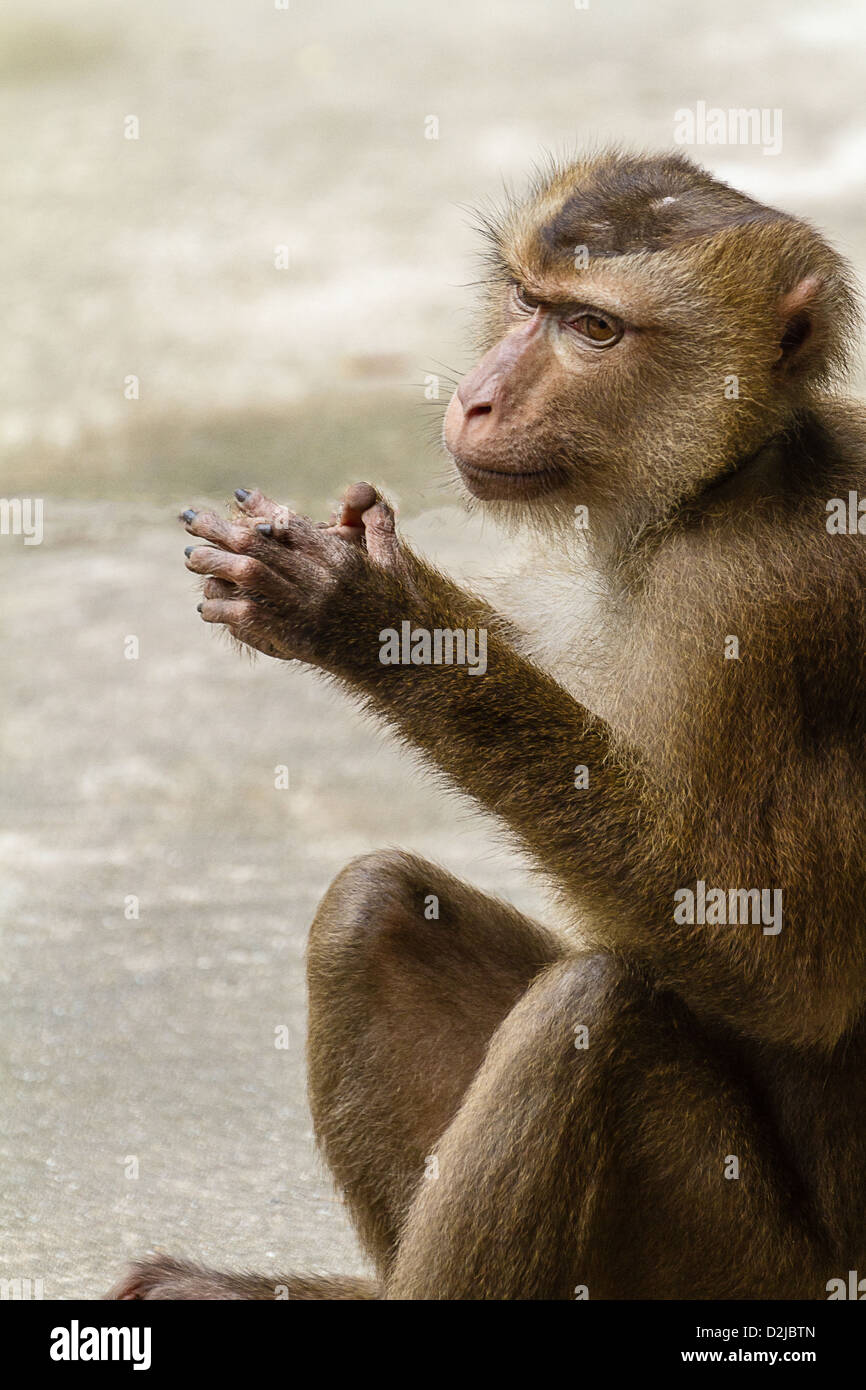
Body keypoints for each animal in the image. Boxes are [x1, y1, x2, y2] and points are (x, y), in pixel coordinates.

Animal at [109, 149, 866, 1300]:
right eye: (523, 299)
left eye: (593, 330)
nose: (474, 398)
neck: (722, 484)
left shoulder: (758, 611)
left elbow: (778, 970)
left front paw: (373, 619)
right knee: (375, 904)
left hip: (751, 1271)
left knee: (590, 1015)